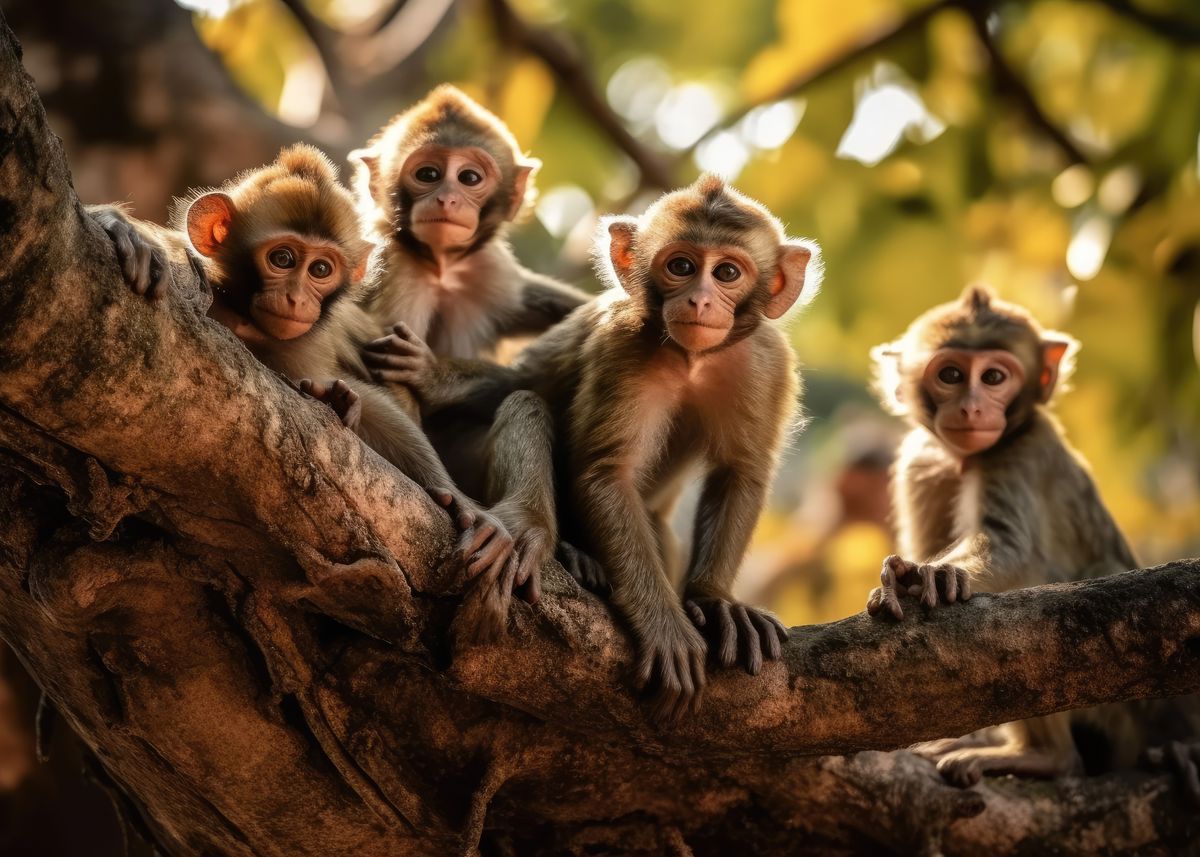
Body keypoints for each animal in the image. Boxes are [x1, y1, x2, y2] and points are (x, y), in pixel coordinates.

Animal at [90, 145, 516, 583]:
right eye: (282, 258)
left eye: (321, 269)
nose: (296, 298)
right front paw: (118, 227)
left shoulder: (309, 344)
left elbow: (373, 405)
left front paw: (459, 501)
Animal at [369, 176, 820, 722]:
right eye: (682, 266)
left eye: (727, 272)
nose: (699, 301)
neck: (692, 359)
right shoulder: (624, 345)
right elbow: (606, 473)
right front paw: (664, 623)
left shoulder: (764, 362)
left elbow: (741, 472)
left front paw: (716, 601)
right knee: (524, 397)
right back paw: (552, 541)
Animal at [864, 285, 1200, 790]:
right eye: (950, 375)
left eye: (994, 377)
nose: (972, 406)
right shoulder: (920, 465)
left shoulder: (1025, 448)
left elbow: (1013, 550)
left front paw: (932, 573)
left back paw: (1046, 756)